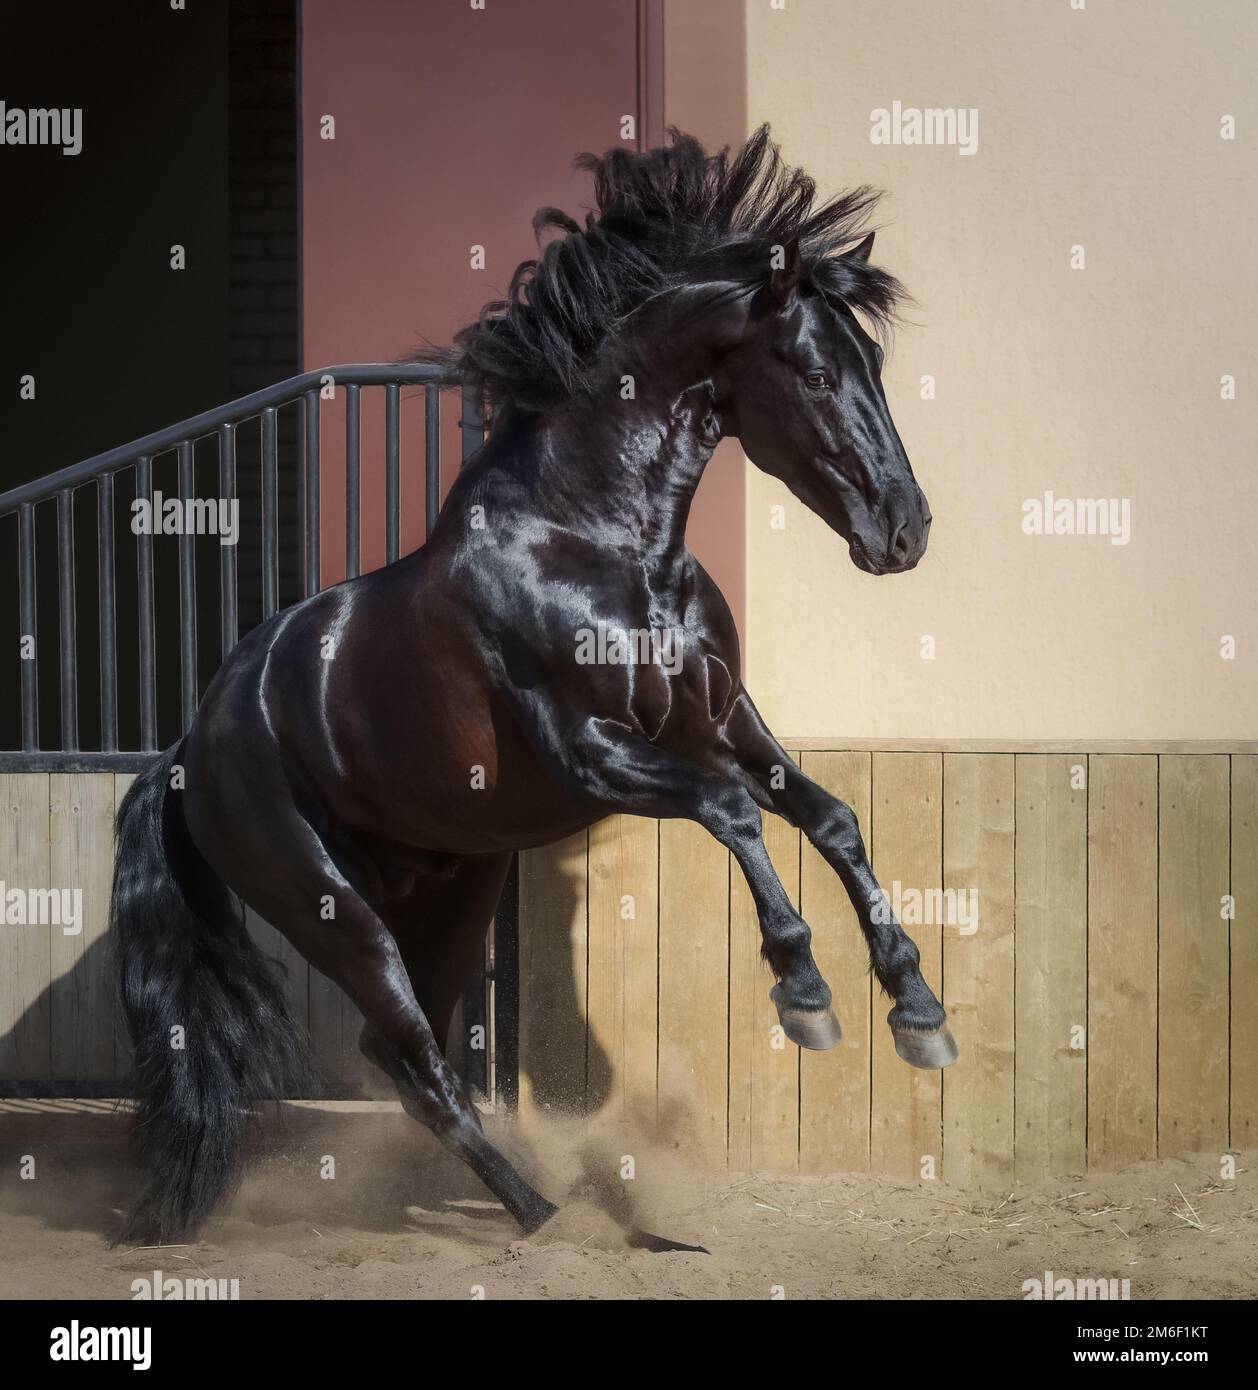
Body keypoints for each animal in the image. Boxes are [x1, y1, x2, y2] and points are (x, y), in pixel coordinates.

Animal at [109, 125, 956, 1246]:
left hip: (457, 886)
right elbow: (735, 814)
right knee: (419, 1064)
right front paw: (805, 991)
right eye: (816, 372)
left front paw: (916, 1011)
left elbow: (827, 815)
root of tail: (188, 748)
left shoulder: (721, 720)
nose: (904, 530)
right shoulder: (594, 755)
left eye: (874, 365)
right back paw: (552, 1217)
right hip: (333, 910)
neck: (598, 541)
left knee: (405, 1055)